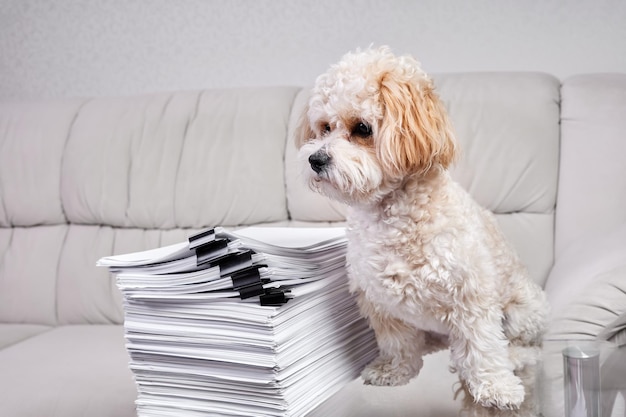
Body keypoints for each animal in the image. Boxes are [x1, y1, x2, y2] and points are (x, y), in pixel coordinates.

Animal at [294, 47, 544, 408]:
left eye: (362, 128)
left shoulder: (471, 296)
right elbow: (397, 344)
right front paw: (394, 371)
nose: (315, 159)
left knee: (525, 347)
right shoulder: (380, 302)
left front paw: (496, 387)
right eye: (324, 127)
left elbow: (482, 347)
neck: (391, 217)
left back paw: (511, 360)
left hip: (522, 311)